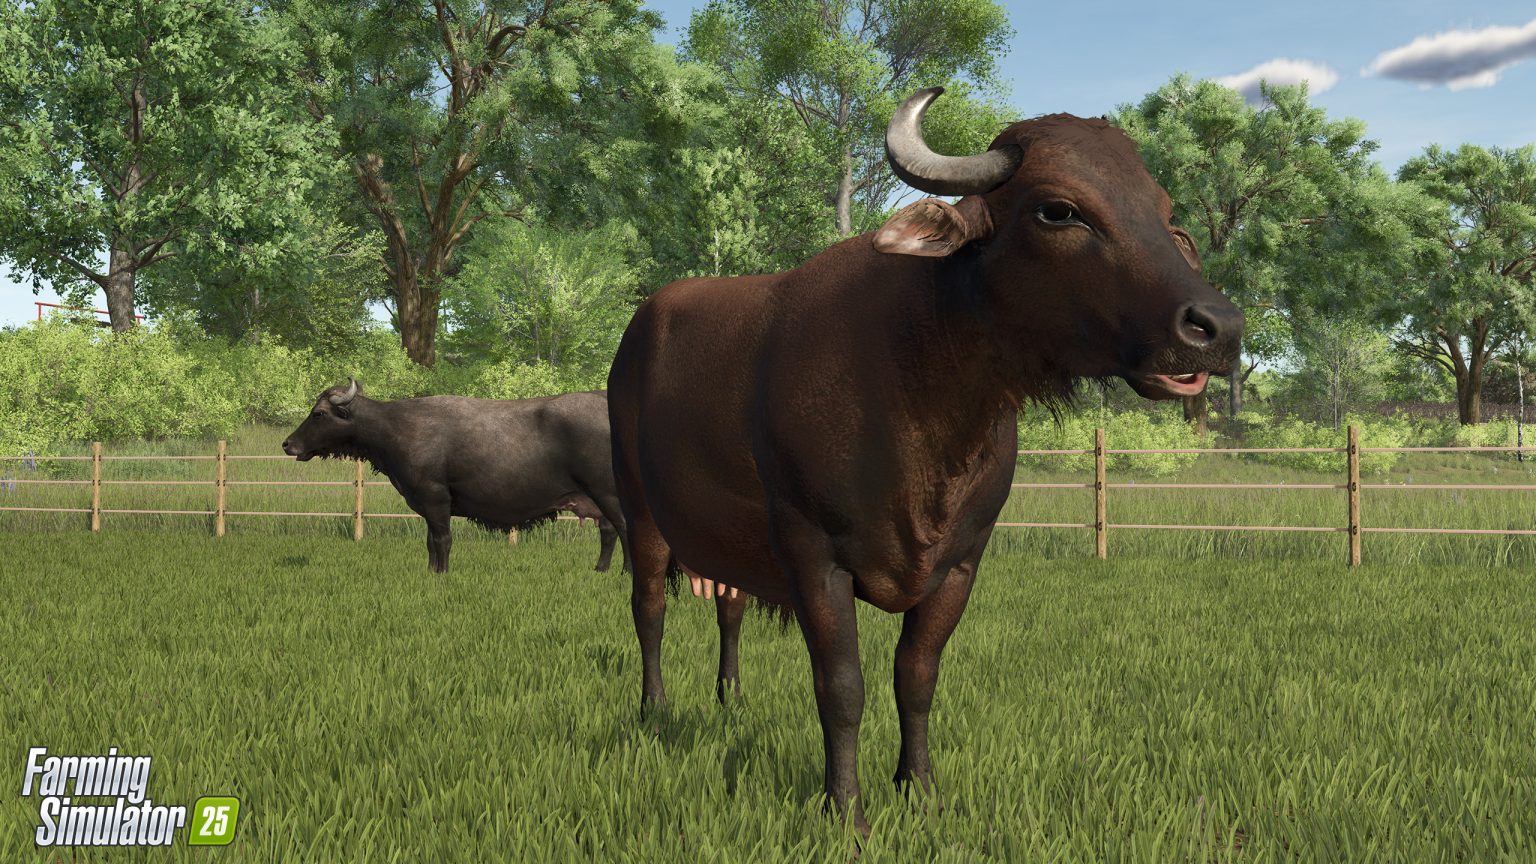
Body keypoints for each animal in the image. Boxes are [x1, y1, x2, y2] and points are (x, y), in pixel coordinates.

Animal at [282, 381, 628, 574]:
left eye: (318, 414)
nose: (287, 444)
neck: (397, 428)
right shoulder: (427, 505)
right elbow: (429, 542)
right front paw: (431, 572)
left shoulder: (436, 498)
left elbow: (443, 540)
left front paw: (443, 574)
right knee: (608, 531)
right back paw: (600, 570)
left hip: (610, 494)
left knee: (624, 529)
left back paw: (625, 573)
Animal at [607, 88, 1244, 832]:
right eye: (1058, 209)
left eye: (1164, 213)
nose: (1217, 328)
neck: (926, 417)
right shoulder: (812, 554)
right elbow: (842, 686)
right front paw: (847, 812)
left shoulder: (961, 564)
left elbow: (916, 677)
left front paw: (921, 790)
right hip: (640, 509)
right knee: (648, 604)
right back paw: (655, 708)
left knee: (729, 602)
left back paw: (730, 696)